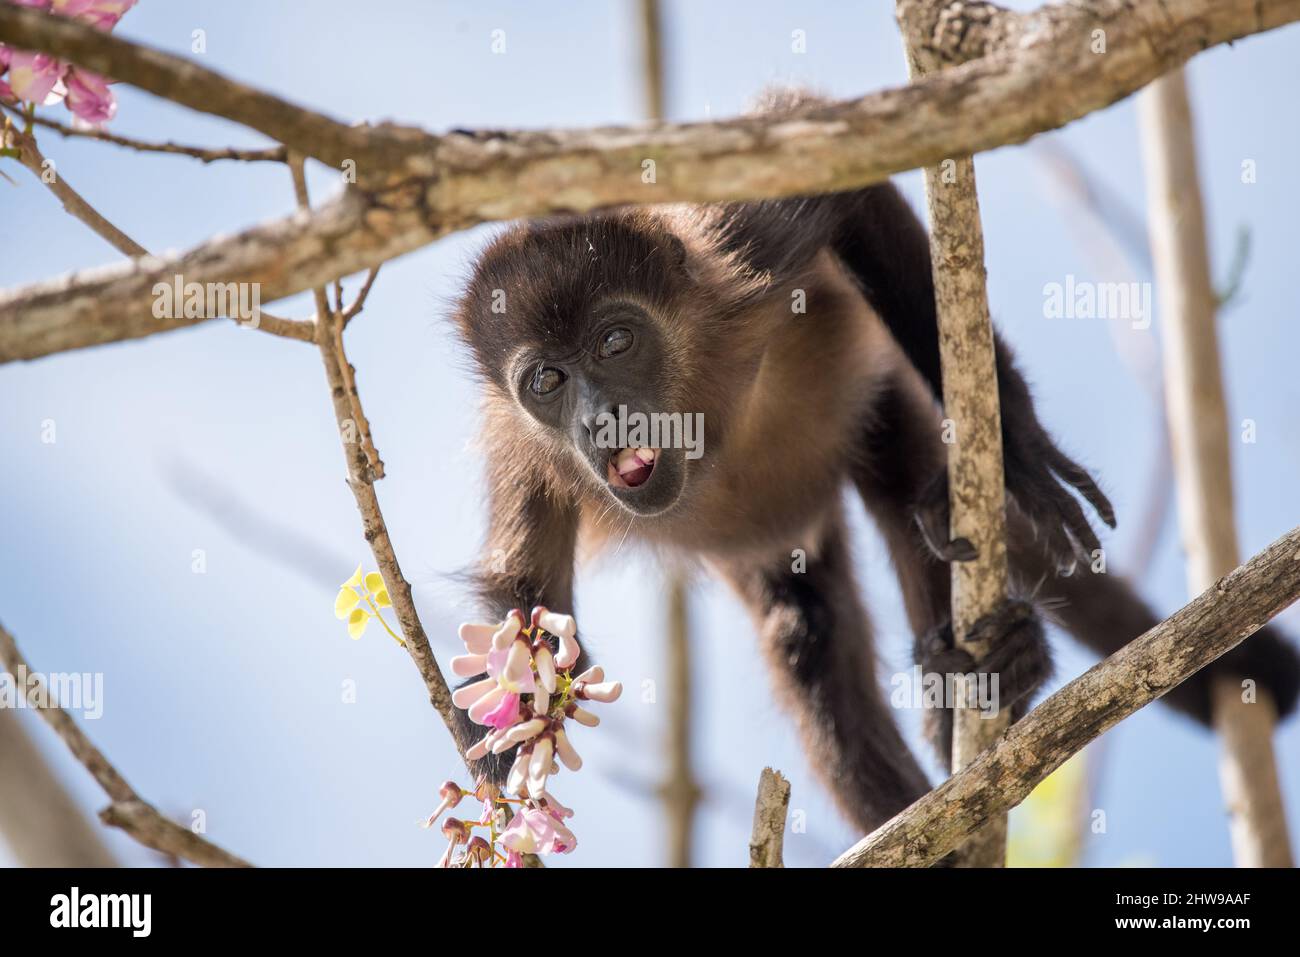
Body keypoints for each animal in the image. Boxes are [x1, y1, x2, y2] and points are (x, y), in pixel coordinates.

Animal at [449, 128, 1300, 841]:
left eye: (616, 340)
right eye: (548, 380)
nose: (600, 420)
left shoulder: (736, 257)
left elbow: (844, 183)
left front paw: (1023, 442)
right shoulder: (520, 451)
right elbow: (520, 590)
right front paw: (507, 744)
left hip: (880, 404)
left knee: (911, 493)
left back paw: (991, 673)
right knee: (806, 633)